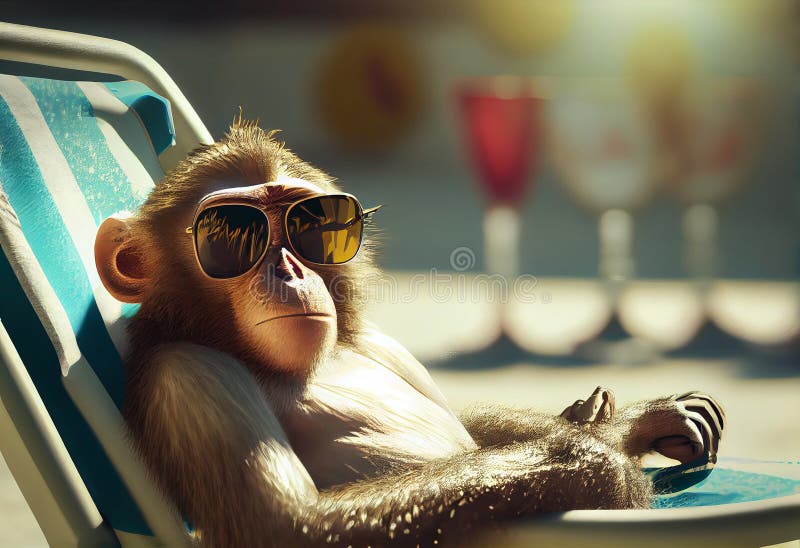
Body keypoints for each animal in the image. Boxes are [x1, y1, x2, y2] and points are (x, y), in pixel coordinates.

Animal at [94, 119, 724, 547]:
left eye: (311, 220)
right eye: (230, 232)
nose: (289, 269)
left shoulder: (382, 343)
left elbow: (464, 420)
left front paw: (629, 420)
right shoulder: (187, 374)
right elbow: (289, 525)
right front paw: (598, 453)